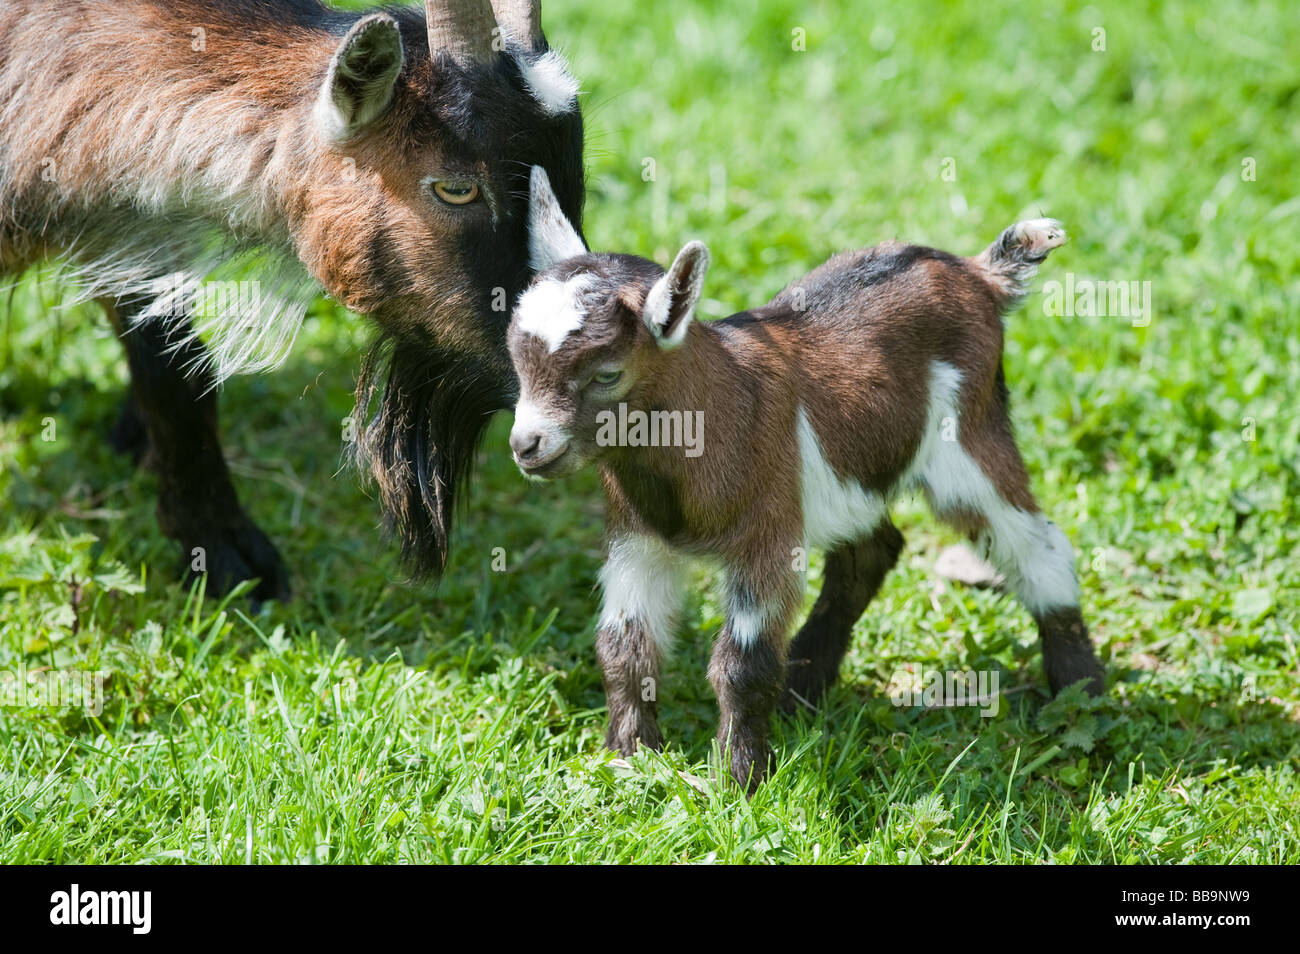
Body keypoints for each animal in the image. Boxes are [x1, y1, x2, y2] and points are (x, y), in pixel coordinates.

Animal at [507, 167, 1104, 791]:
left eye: (607, 374)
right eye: (515, 357)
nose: (527, 446)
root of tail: (976, 272)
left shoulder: (765, 538)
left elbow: (741, 666)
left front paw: (739, 781)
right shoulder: (638, 540)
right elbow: (625, 648)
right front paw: (626, 760)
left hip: (969, 439)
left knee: (1037, 545)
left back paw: (1081, 689)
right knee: (873, 549)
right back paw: (804, 685)